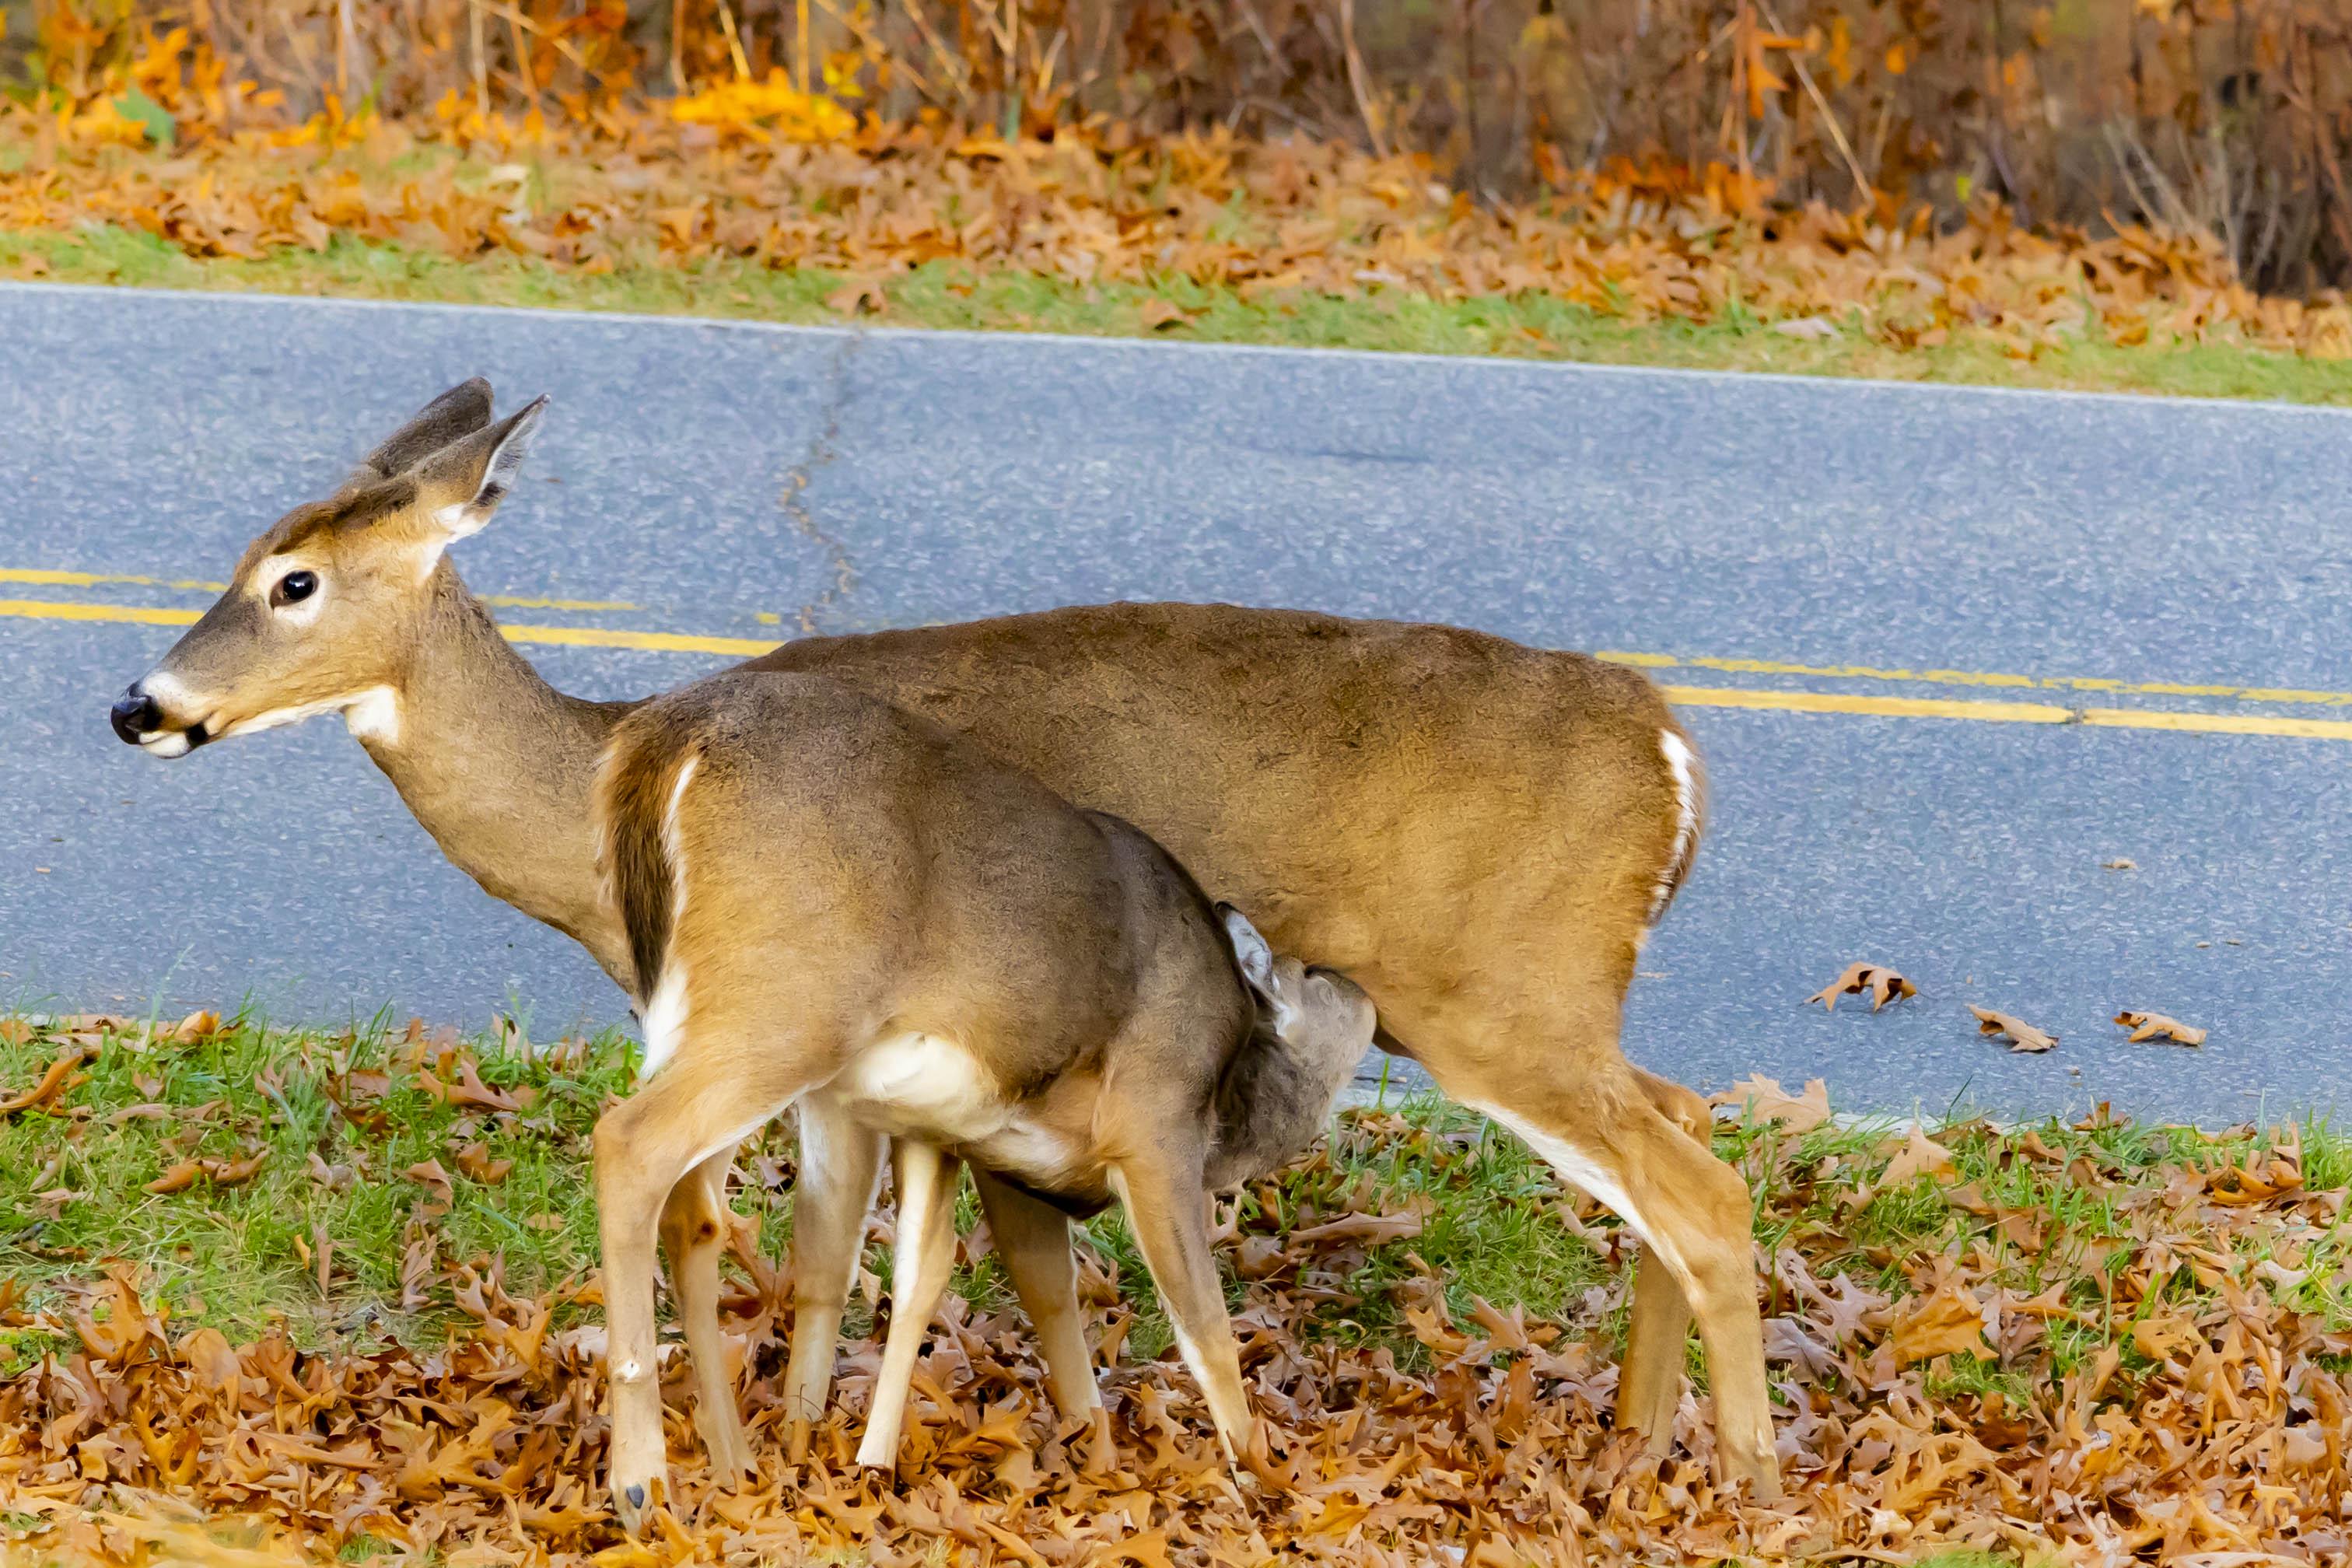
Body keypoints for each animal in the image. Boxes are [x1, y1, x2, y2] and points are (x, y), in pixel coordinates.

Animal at [108, 379, 1779, 1516]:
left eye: (293, 582)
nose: (140, 703)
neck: (601, 786)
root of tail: (1675, 755)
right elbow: (868, 1259)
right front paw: (846, 1449)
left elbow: (833, 1249)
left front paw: (781, 1453)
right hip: (1538, 1002)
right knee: (1681, 1131)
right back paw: (1636, 1445)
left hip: (1492, 992)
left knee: (1695, 1187)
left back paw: (1748, 1485)